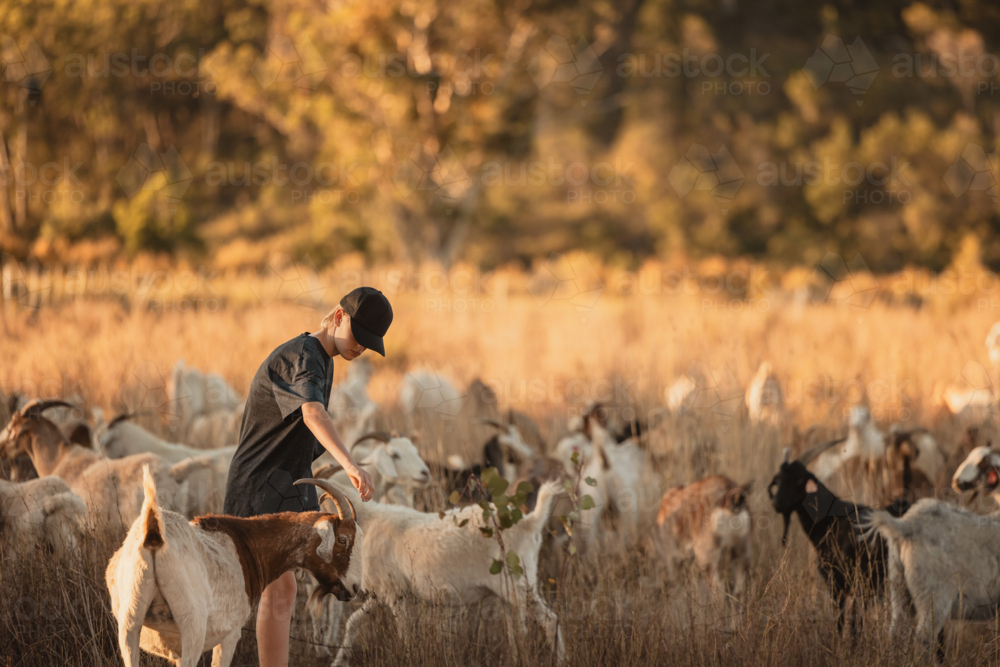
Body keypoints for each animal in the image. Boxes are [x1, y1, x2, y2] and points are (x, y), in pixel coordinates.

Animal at [105, 467, 361, 667]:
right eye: (343, 539)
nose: (355, 588)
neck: (248, 543)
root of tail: (154, 533)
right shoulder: (229, 634)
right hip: (192, 629)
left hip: (129, 626)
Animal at [309, 476, 566, 666]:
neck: (370, 524)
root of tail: (531, 521)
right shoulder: (381, 594)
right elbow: (353, 623)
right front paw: (339, 661)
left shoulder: (393, 594)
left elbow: (404, 633)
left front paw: (408, 657)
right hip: (515, 590)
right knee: (543, 623)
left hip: (518, 586)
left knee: (531, 627)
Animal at [768, 441, 910, 637]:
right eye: (780, 479)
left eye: (799, 480)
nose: (777, 503)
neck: (830, 521)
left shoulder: (844, 580)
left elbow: (848, 619)